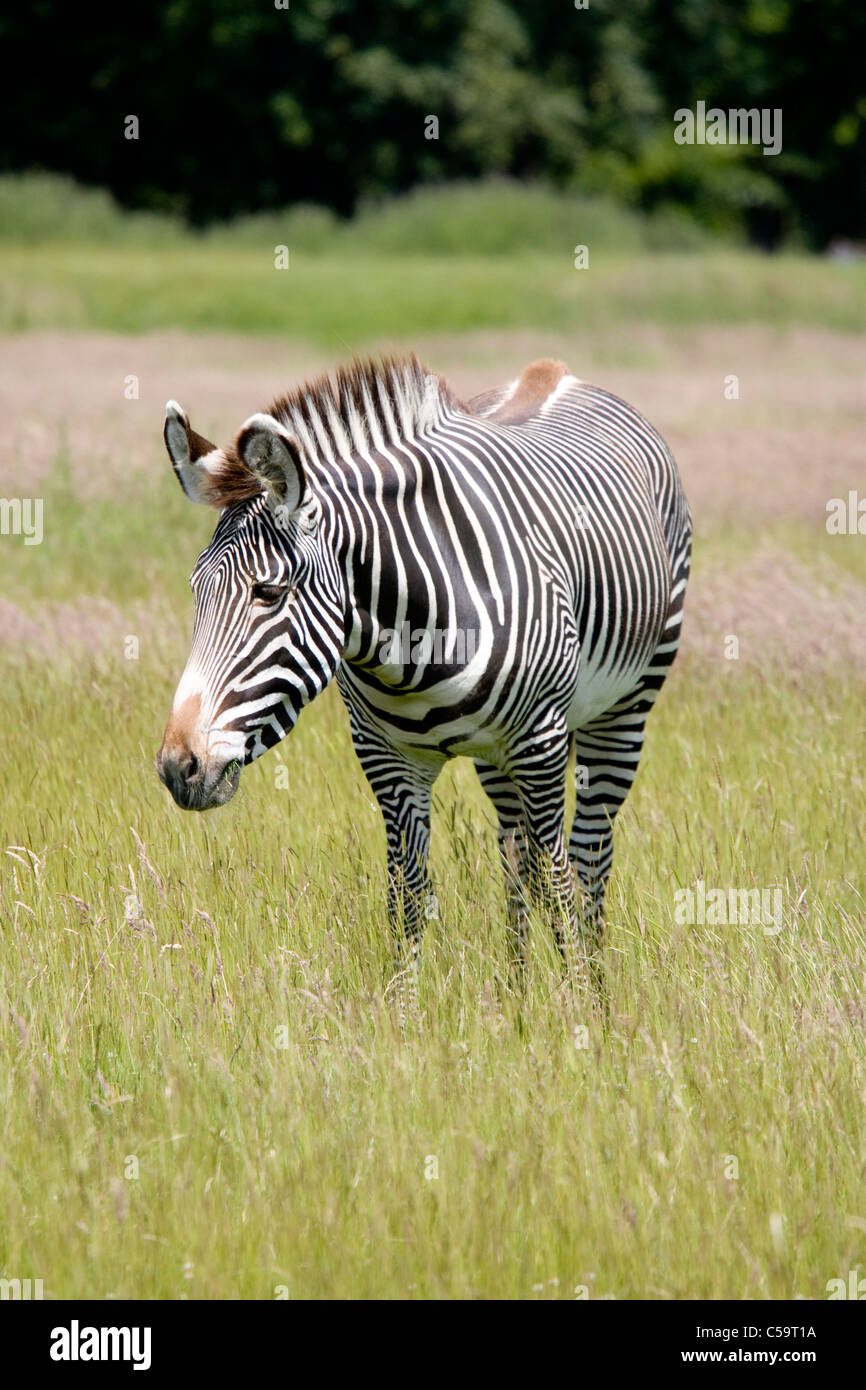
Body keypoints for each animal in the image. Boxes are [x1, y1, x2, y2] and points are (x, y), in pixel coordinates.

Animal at [157, 354, 691, 999]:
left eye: (268, 593)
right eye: (195, 592)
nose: (177, 767)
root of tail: (557, 373)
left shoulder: (540, 740)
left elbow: (561, 886)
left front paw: (576, 1013)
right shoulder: (387, 757)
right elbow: (408, 899)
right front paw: (408, 1014)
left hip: (624, 709)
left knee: (587, 860)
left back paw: (595, 994)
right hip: (496, 757)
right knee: (517, 856)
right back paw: (517, 994)